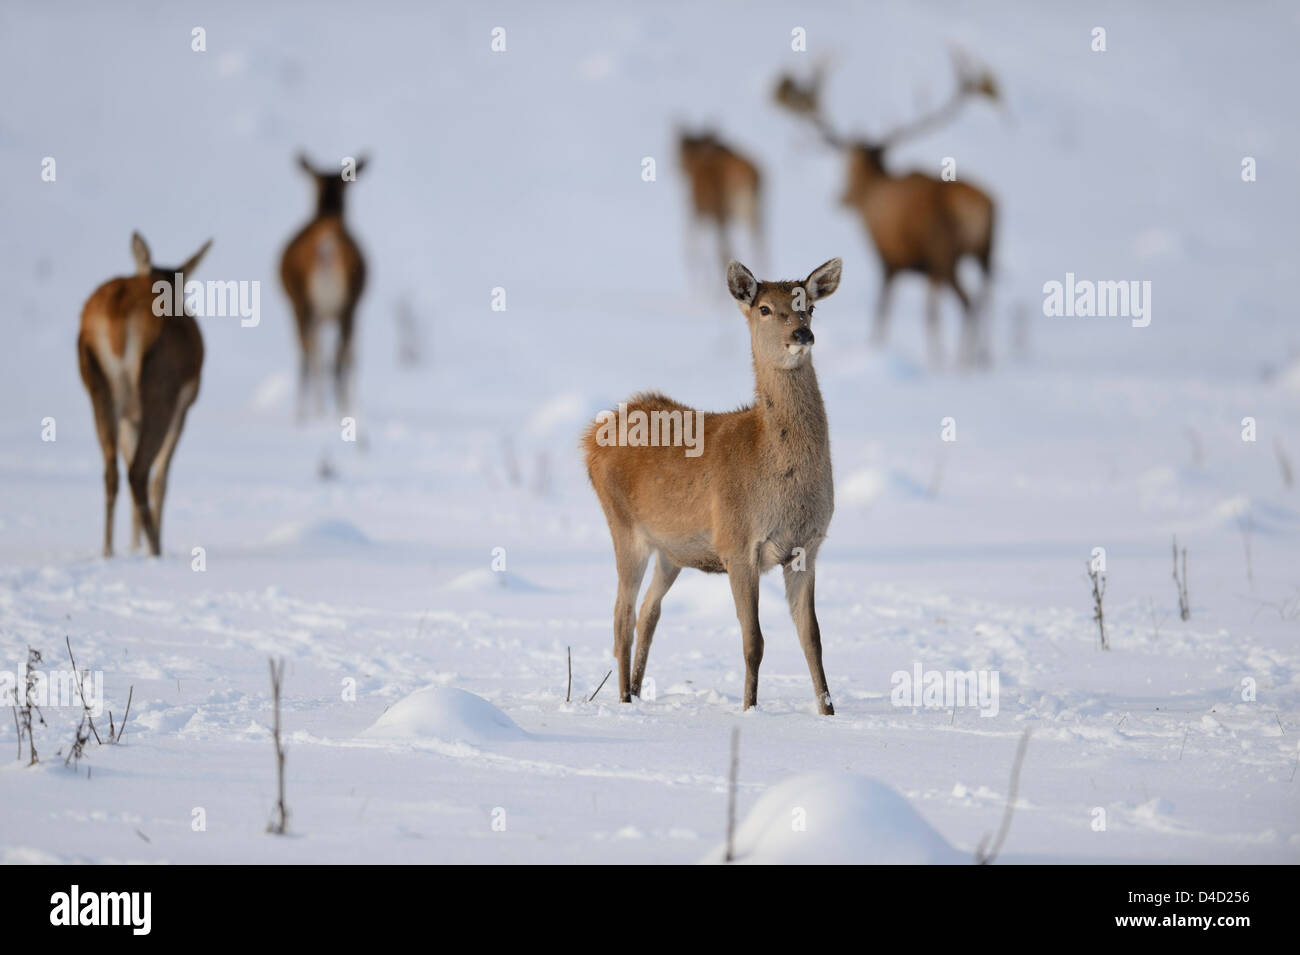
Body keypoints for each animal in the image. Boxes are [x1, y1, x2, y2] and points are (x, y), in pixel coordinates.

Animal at [77, 232, 210, 557]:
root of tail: (117, 314)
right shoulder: (184, 407)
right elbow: (162, 477)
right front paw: (146, 544)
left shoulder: (129, 415)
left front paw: (133, 545)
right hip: (162, 387)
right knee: (139, 472)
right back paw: (155, 550)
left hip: (97, 384)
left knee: (112, 470)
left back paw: (109, 551)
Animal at [280, 153, 368, 420]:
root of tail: (328, 245)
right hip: (340, 308)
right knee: (336, 357)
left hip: (310, 304)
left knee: (314, 357)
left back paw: (308, 414)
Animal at [583, 258, 843, 715]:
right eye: (764, 308)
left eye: (809, 306)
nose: (801, 334)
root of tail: (589, 439)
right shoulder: (737, 542)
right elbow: (753, 641)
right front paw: (749, 709)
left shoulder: (806, 548)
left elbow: (813, 639)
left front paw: (829, 713)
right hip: (623, 525)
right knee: (621, 614)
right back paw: (625, 700)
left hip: (671, 550)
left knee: (649, 610)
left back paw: (637, 690)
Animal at [777, 52, 998, 366]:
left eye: (847, 168)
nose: (841, 198)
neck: (873, 192)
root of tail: (977, 205)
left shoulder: (887, 258)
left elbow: (882, 309)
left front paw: (876, 344)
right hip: (984, 251)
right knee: (983, 296)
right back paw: (981, 356)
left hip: (941, 253)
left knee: (956, 305)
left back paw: (949, 360)